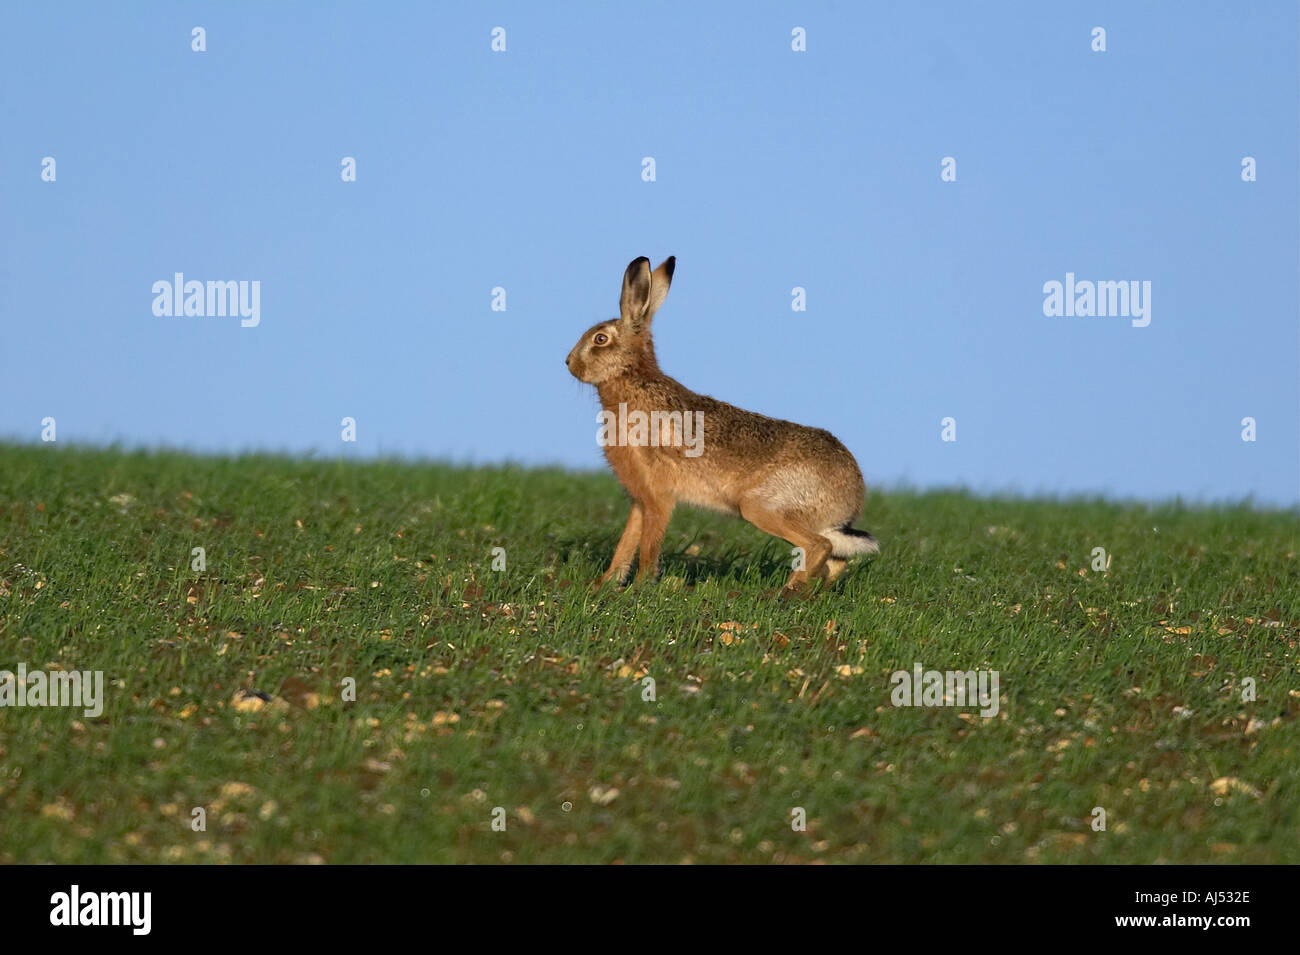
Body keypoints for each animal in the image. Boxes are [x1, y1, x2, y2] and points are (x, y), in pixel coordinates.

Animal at [565, 255, 878, 596]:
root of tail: (851, 497)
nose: (569, 363)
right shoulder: (640, 498)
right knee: (836, 560)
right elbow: (627, 542)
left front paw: (641, 587)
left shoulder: (659, 496)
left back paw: (781, 596)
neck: (632, 379)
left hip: (760, 506)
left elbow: (649, 545)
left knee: (819, 546)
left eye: (600, 339)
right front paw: (605, 583)